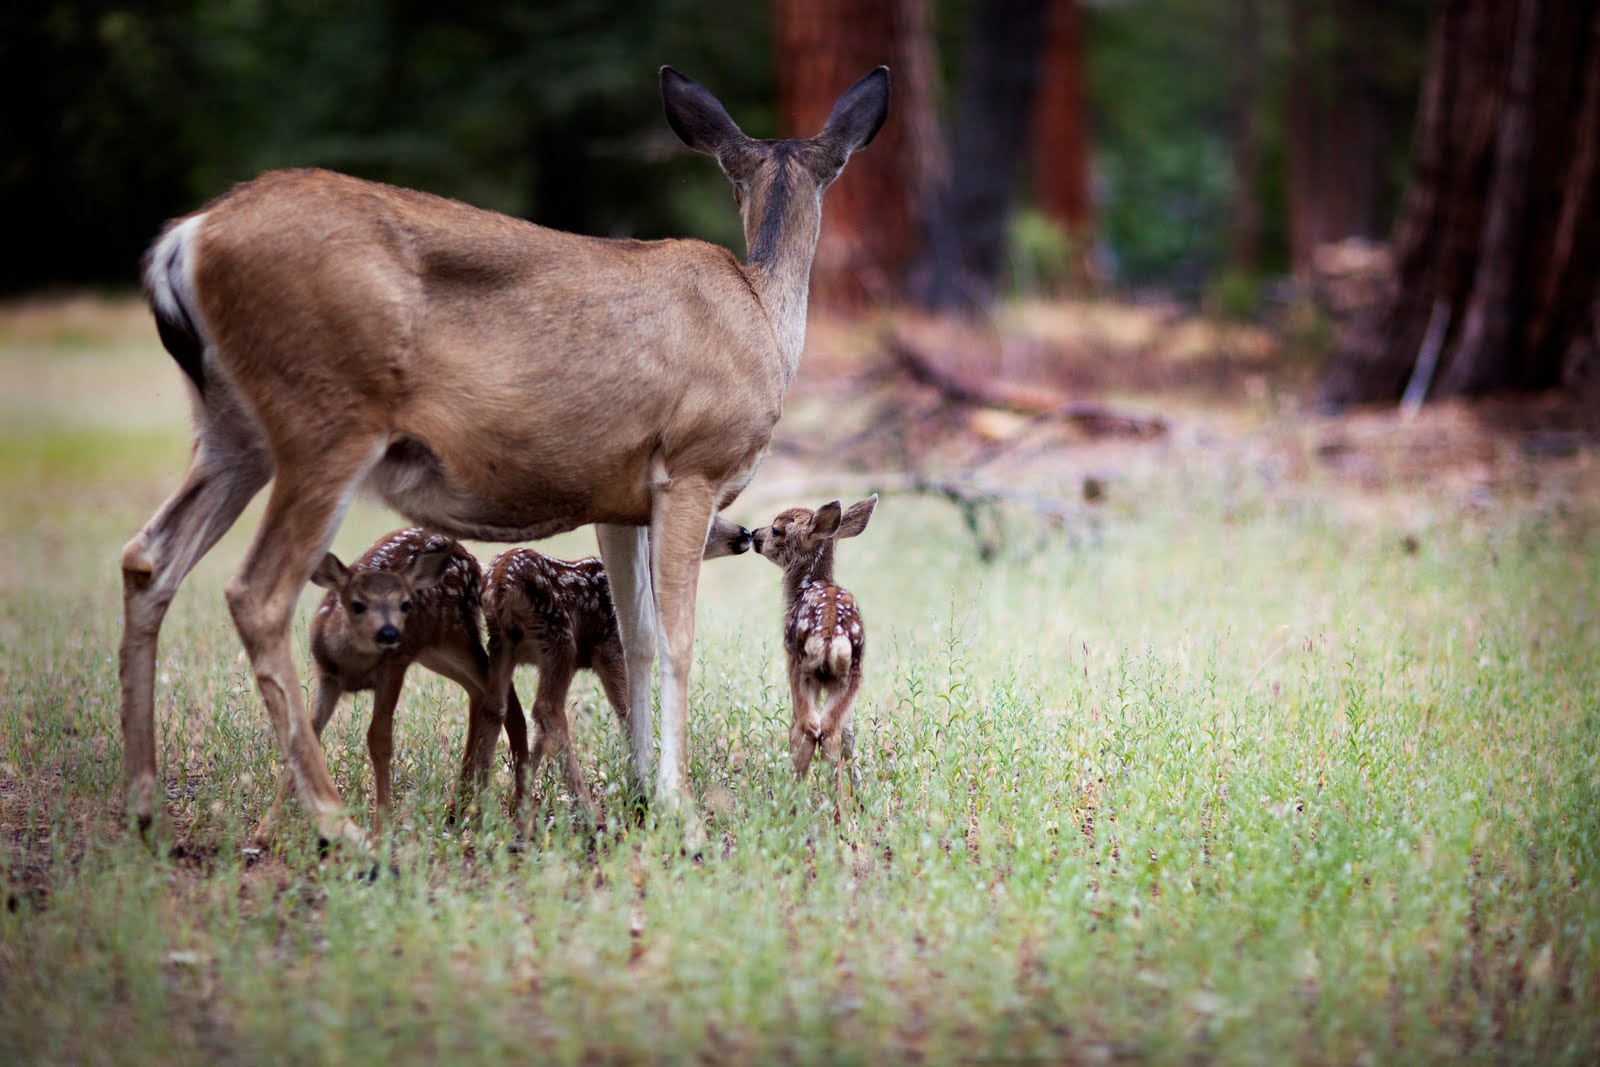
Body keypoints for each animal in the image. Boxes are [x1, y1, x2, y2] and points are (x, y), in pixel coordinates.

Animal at [248, 527, 528, 846]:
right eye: (357, 605)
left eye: (405, 604)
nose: (389, 633)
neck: (354, 666)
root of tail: (470, 559)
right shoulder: (328, 676)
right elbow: (305, 734)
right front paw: (263, 832)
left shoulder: (395, 666)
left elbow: (379, 738)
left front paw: (382, 831)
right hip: (432, 649)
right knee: (479, 692)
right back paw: (457, 808)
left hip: (455, 632)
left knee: (501, 693)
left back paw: (514, 803)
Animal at [483, 516, 751, 827]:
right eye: (710, 522)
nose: (745, 533)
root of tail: (498, 586)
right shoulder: (608, 645)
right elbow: (625, 709)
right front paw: (638, 784)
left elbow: (541, 734)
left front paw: (522, 799)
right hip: (559, 638)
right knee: (547, 709)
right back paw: (590, 811)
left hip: (503, 645)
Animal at [750, 496, 877, 813]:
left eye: (777, 529)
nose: (754, 535)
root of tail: (831, 637)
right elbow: (848, 732)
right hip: (851, 676)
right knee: (834, 730)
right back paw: (841, 810)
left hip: (800, 669)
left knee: (807, 727)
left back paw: (792, 804)